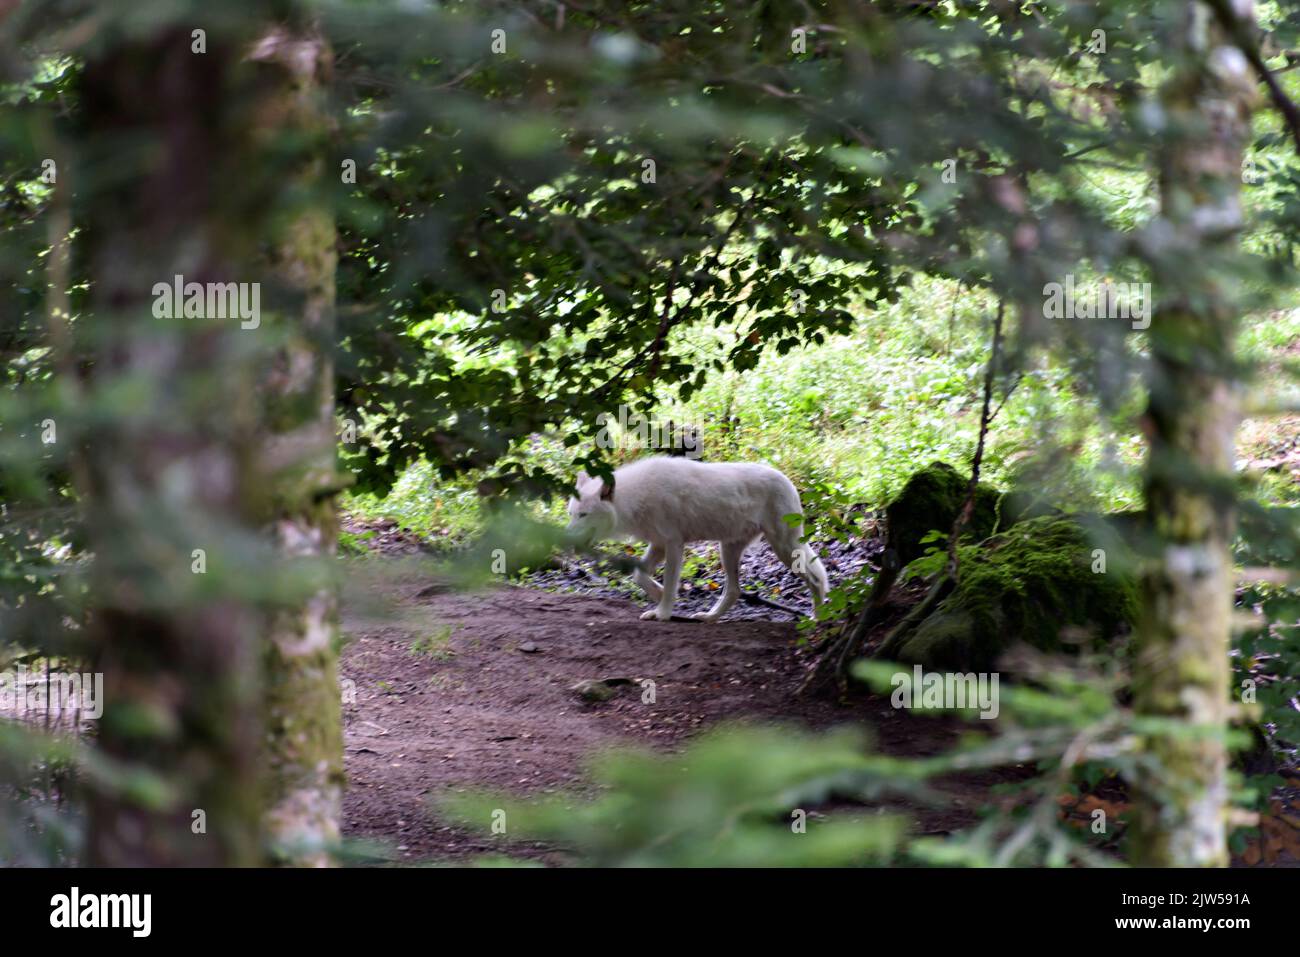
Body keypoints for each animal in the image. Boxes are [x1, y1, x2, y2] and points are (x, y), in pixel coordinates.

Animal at [565, 456, 830, 622]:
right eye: (571, 514)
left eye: (584, 515)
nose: (566, 537)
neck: (634, 498)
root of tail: (789, 481)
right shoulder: (658, 544)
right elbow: (639, 575)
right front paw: (658, 596)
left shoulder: (674, 544)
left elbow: (670, 583)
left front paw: (662, 613)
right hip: (728, 549)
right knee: (734, 590)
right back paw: (709, 617)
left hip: (783, 548)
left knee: (816, 579)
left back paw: (818, 619)